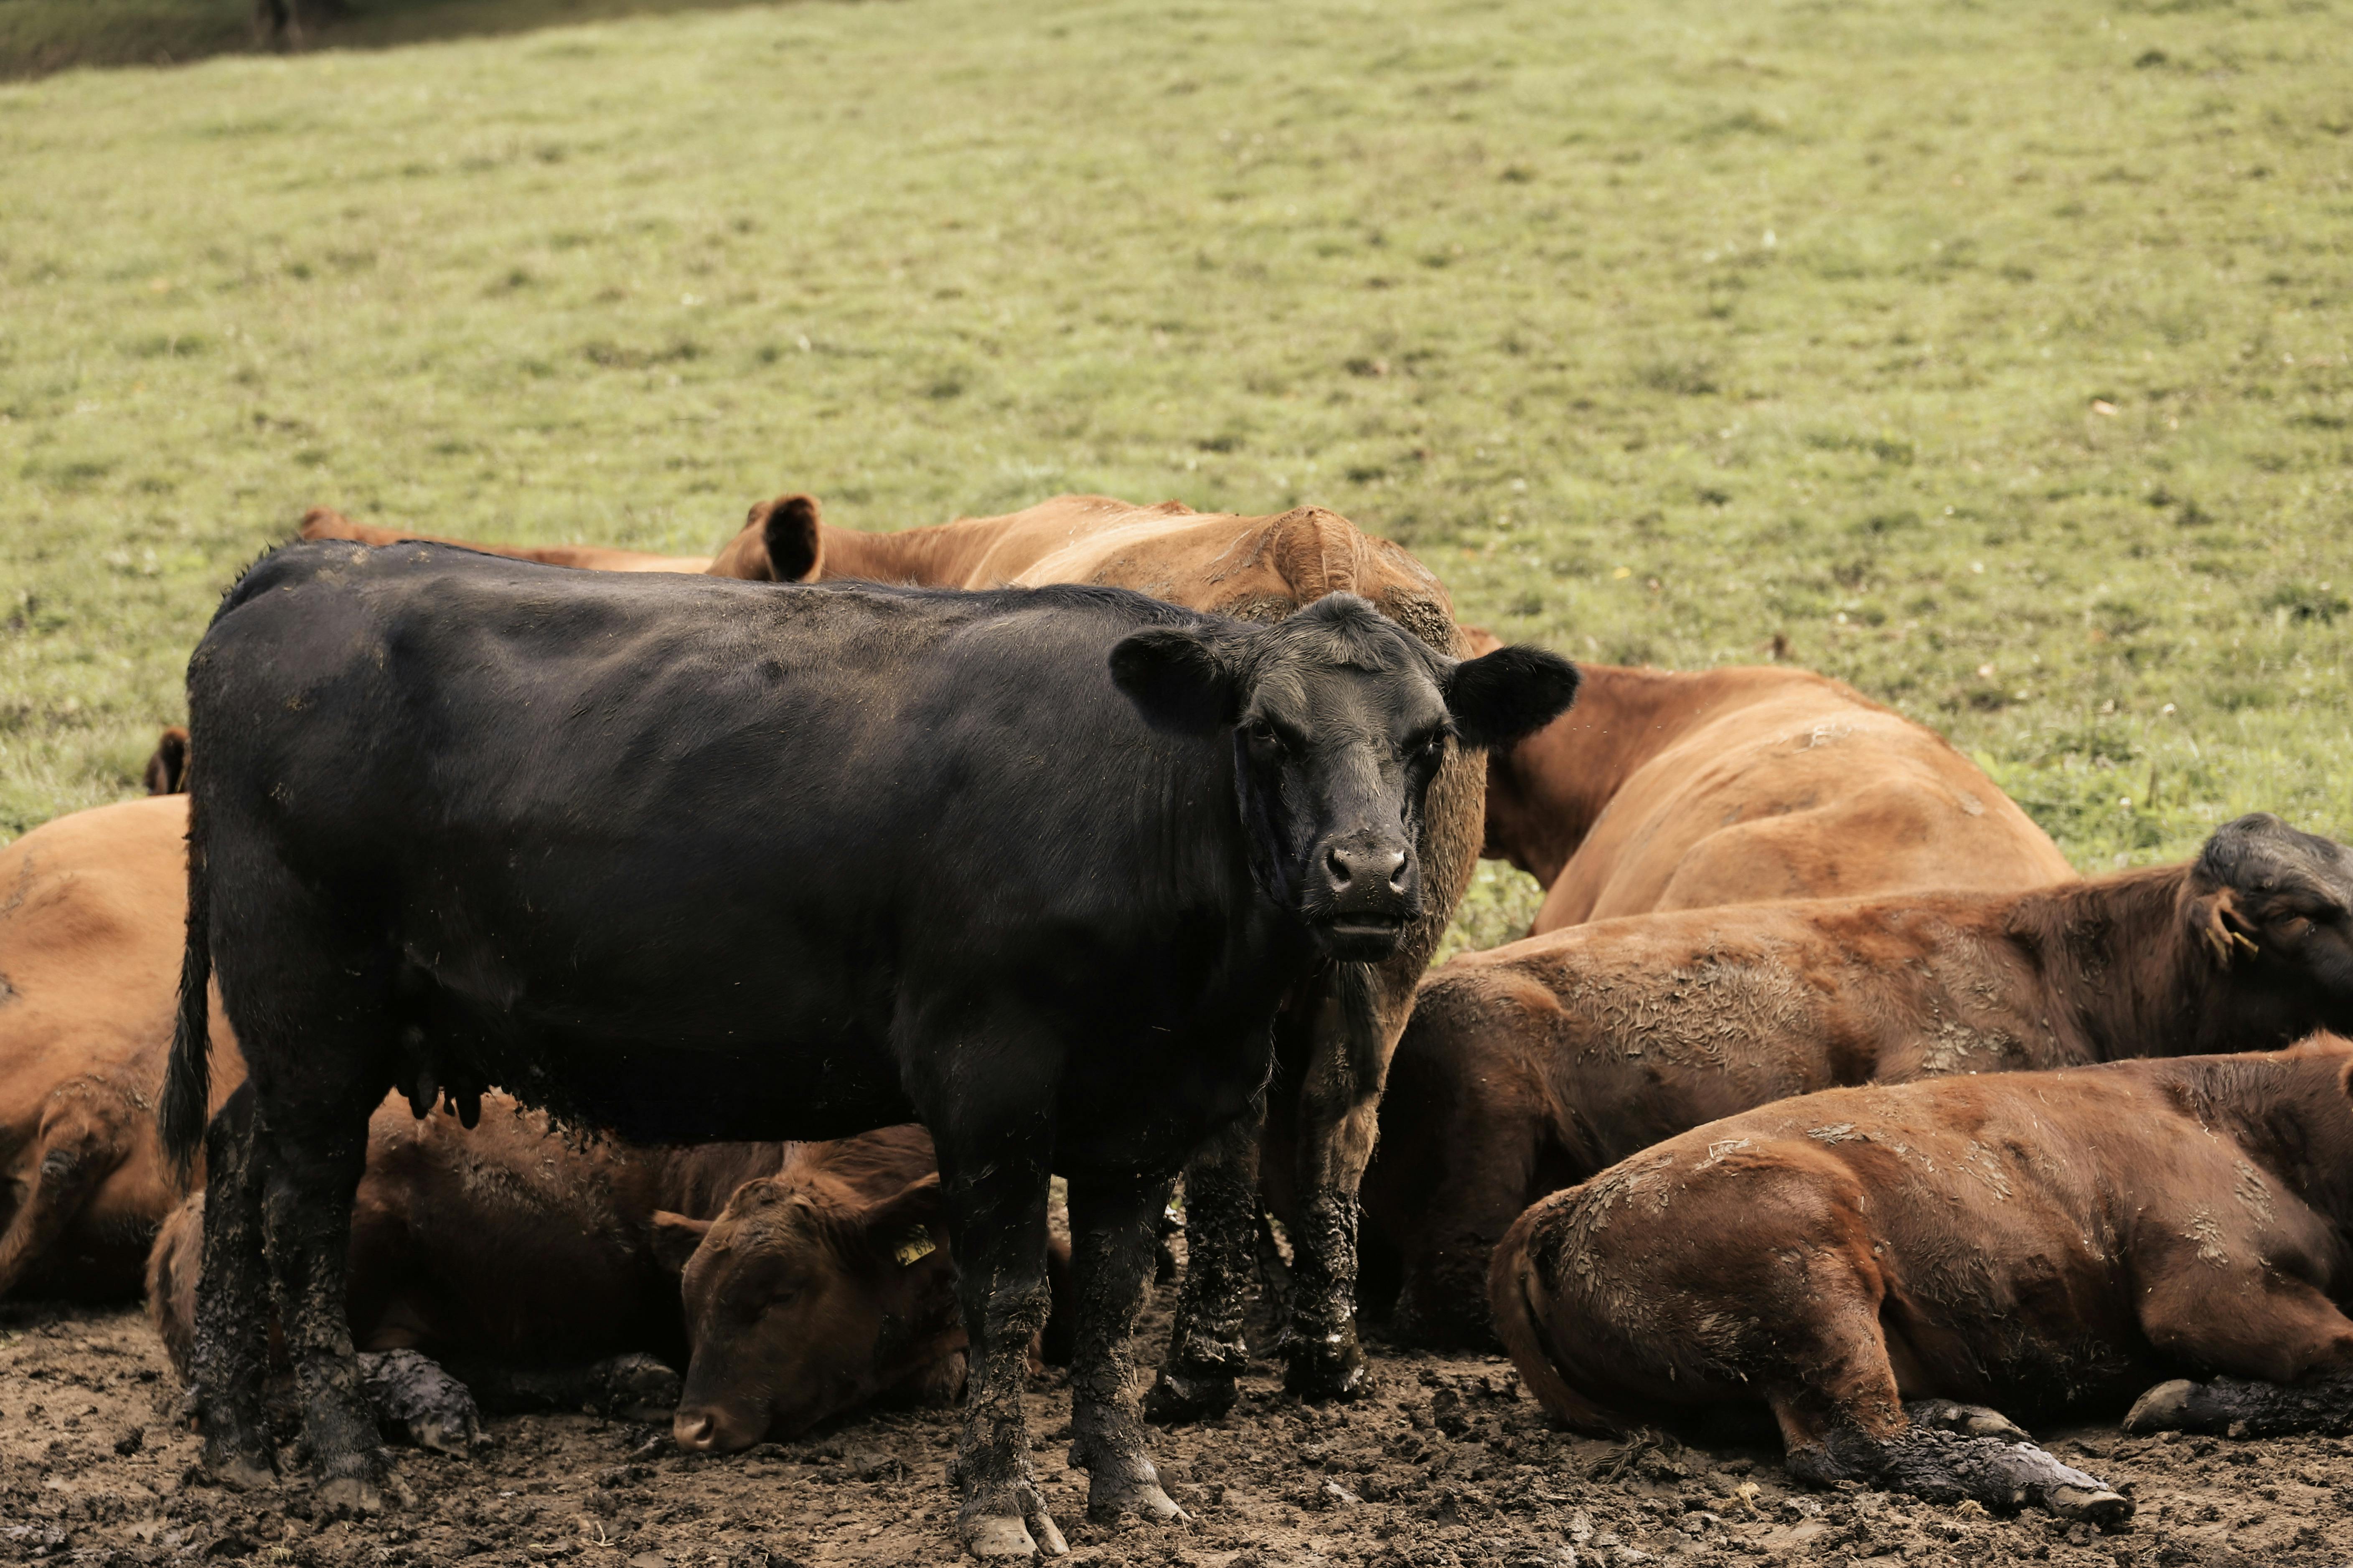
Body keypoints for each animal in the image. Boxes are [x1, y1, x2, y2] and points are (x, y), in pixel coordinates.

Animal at [158, 542, 1577, 1557]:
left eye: (1430, 743)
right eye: (1267, 733)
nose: (1367, 875)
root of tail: (307, 570)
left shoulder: (1143, 1109)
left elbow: (1114, 1302)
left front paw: (1126, 1485)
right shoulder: (990, 1083)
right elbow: (1009, 1296)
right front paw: (1002, 1504)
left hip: (307, 1034)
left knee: (235, 1162)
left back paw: (236, 1436)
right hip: (310, 1005)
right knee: (299, 1219)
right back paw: (344, 1460)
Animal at [1489, 1039, 2353, 1523]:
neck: (2255, 1124)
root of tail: (1572, 1201)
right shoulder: (2207, 1289)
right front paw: (2179, 1397)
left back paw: (1978, 1419)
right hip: (1811, 1267)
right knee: (1851, 1442)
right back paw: (2054, 1480)